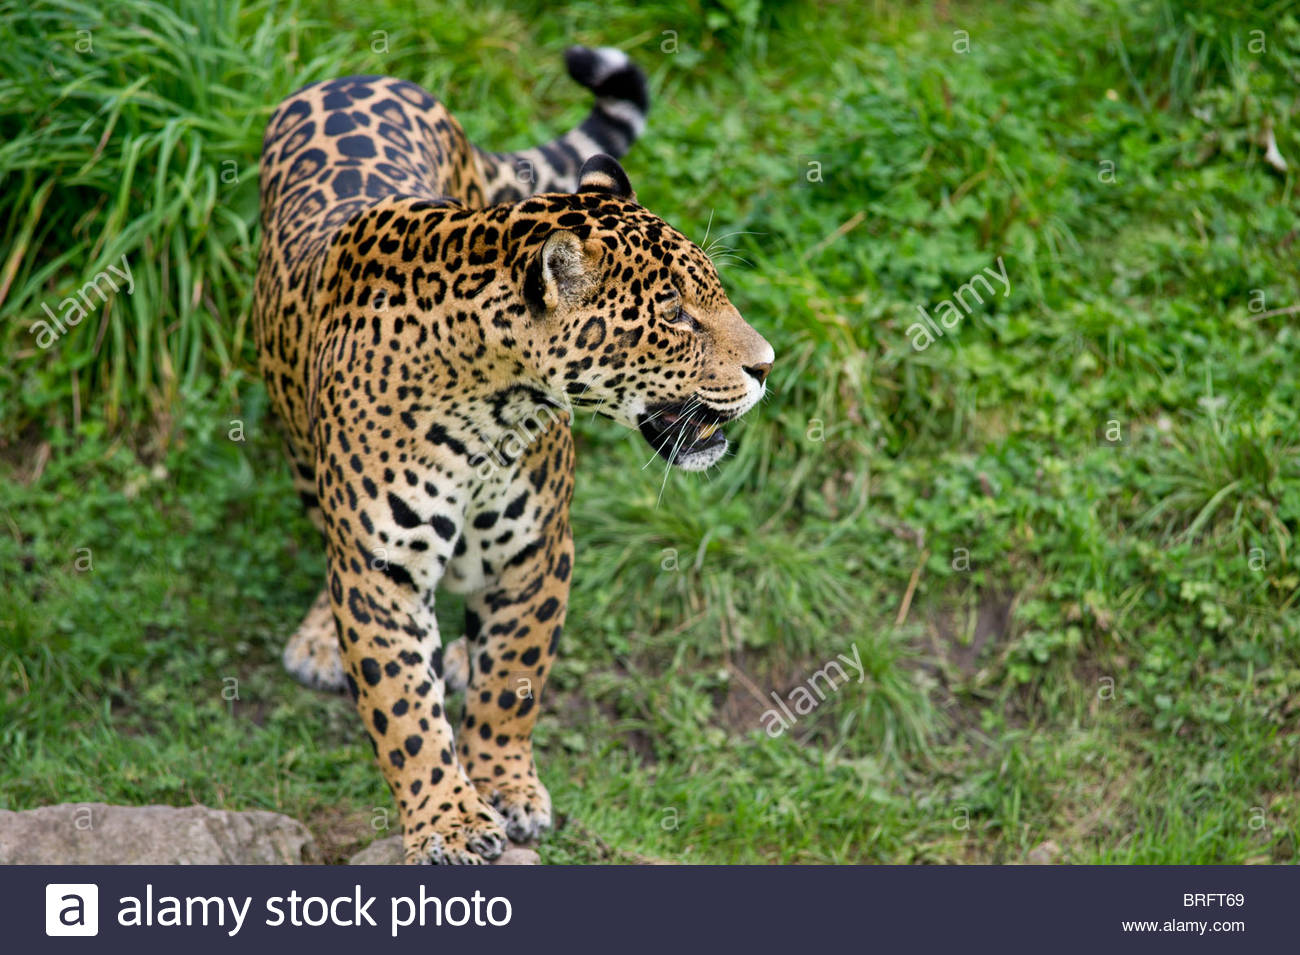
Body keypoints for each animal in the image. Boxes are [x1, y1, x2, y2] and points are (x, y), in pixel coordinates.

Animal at [253, 45, 774, 864]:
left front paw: (503, 784)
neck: (488, 406)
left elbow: (515, 679)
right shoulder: (382, 569)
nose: (768, 365)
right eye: (675, 317)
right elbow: (402, 708)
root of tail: (361, 76)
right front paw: (448, 819)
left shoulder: (536, 548)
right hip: (299, 439)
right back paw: (321, 640)